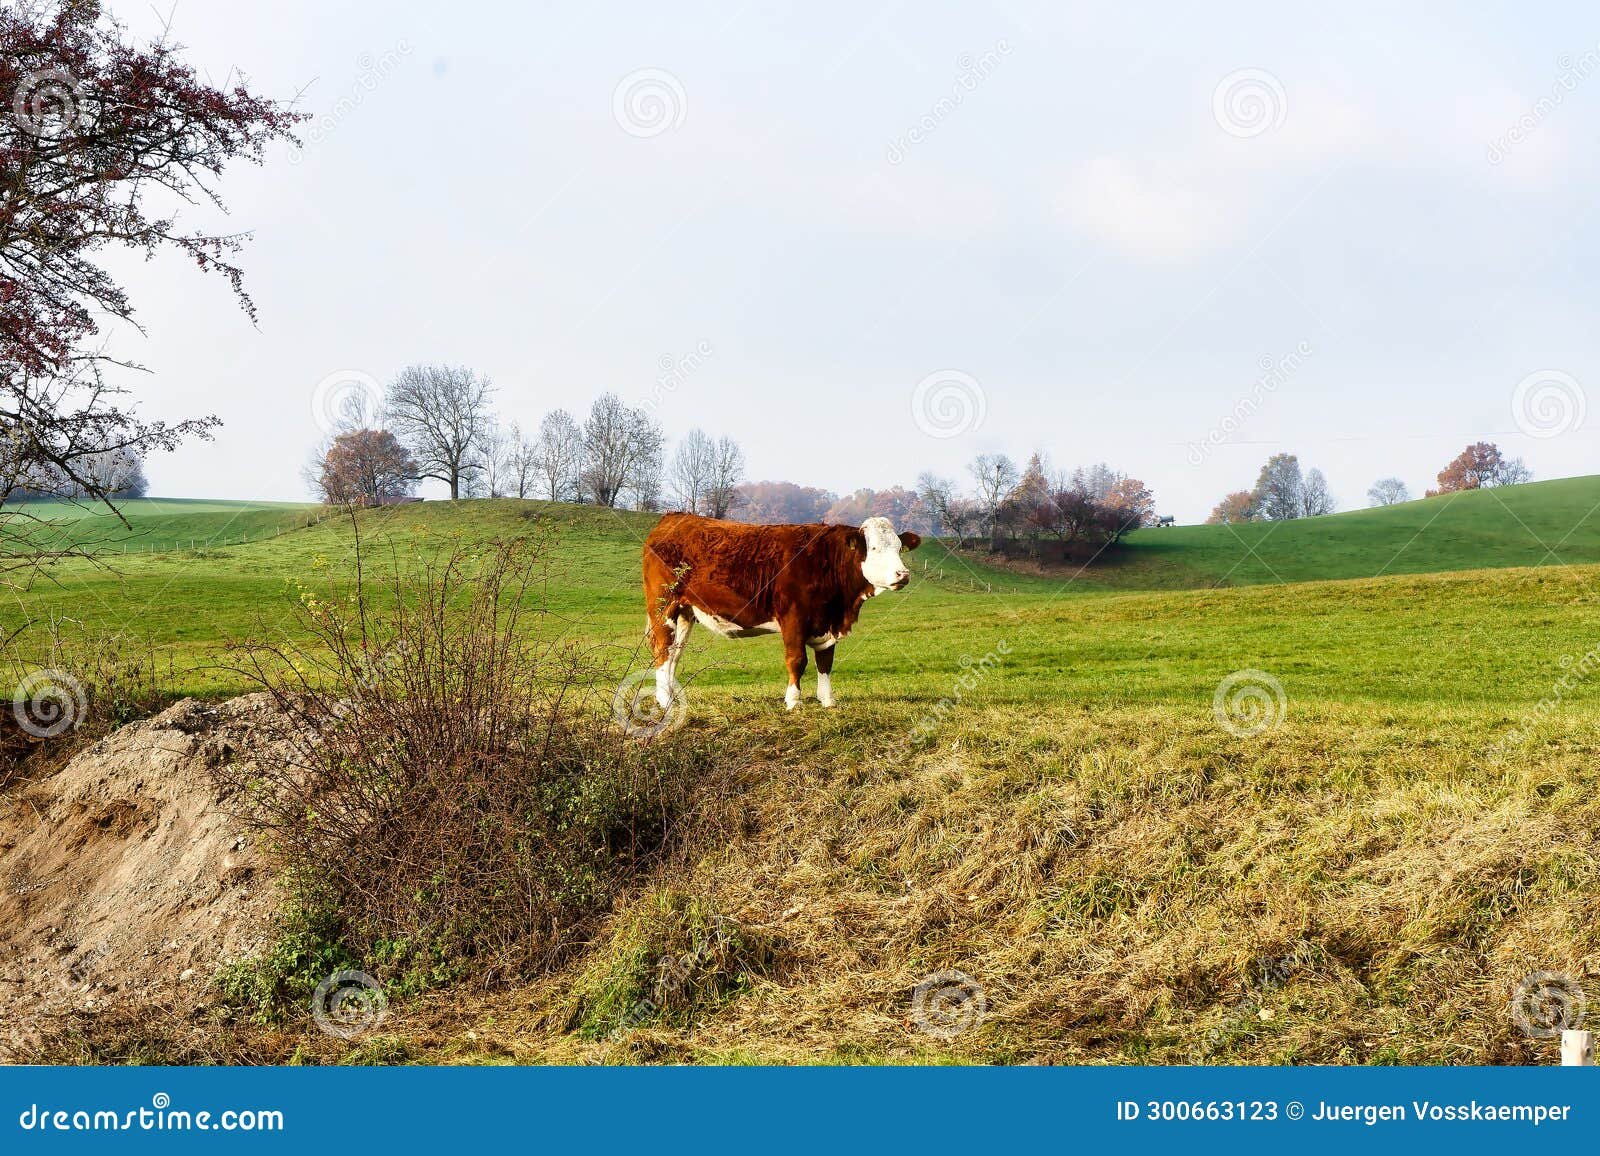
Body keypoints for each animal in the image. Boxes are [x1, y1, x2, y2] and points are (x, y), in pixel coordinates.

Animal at [641, 513, 921, 711]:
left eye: (899, 548)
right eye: (874, 549)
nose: (903, 574)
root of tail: (673, 518)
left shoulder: (826, 623)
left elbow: (825, 661)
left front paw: (827, 700)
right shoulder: (793, 618)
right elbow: (797, 660)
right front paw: (793, 700)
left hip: (685, 612)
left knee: (675, 653)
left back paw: (671, 695)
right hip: (664, 606)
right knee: (662, 649)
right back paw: (664, 700)